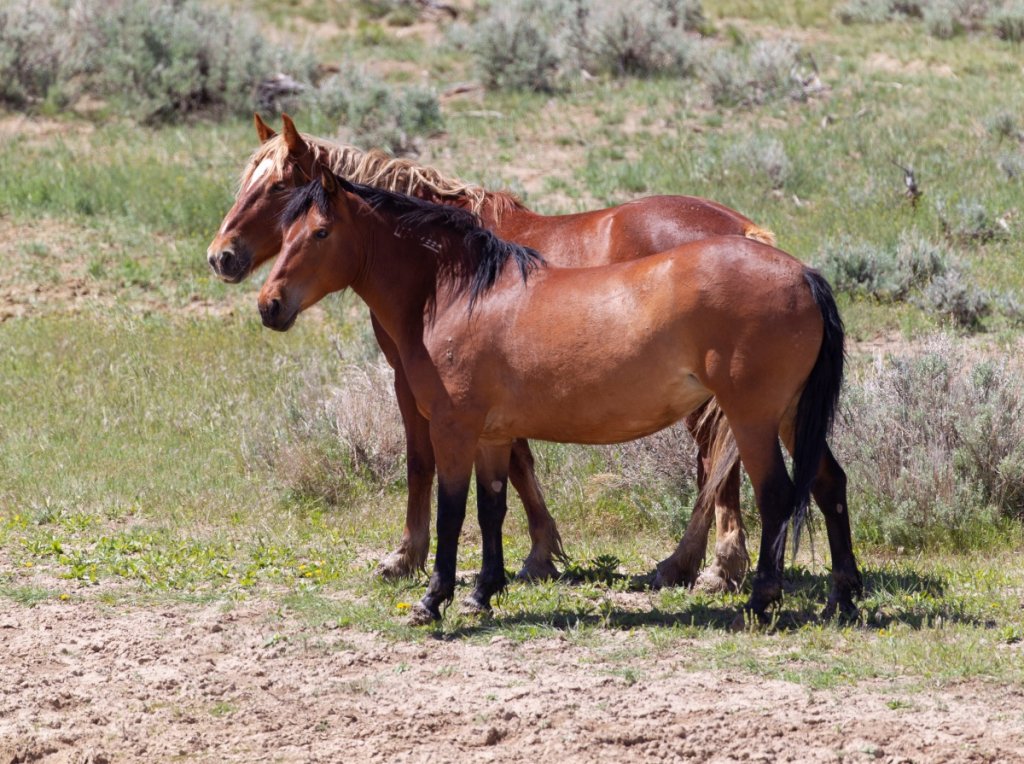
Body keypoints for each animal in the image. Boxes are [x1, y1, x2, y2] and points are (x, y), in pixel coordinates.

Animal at [208, 114, 774, 591]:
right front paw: (539, 553)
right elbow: (516, 464)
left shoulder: (417, 384)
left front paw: (408, 556)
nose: (221, 257)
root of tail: (744, 230)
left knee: (719, 464)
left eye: (279, 188)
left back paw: (711, 567)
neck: (436, 261)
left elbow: (424, 462)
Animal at [257, 170, 863, 624]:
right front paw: (482, 594)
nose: (269, 304)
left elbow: (453, 511)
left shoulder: (453, 429)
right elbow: (493, 508)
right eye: (282, 230)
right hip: (790, 415)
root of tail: (804, 273)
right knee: (830, 485)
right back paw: (843, 598)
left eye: (319, 233)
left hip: (753, 417)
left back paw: (760, 601)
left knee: (777, 495)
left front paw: (434, 601)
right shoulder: (492, 435)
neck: (461, 294)